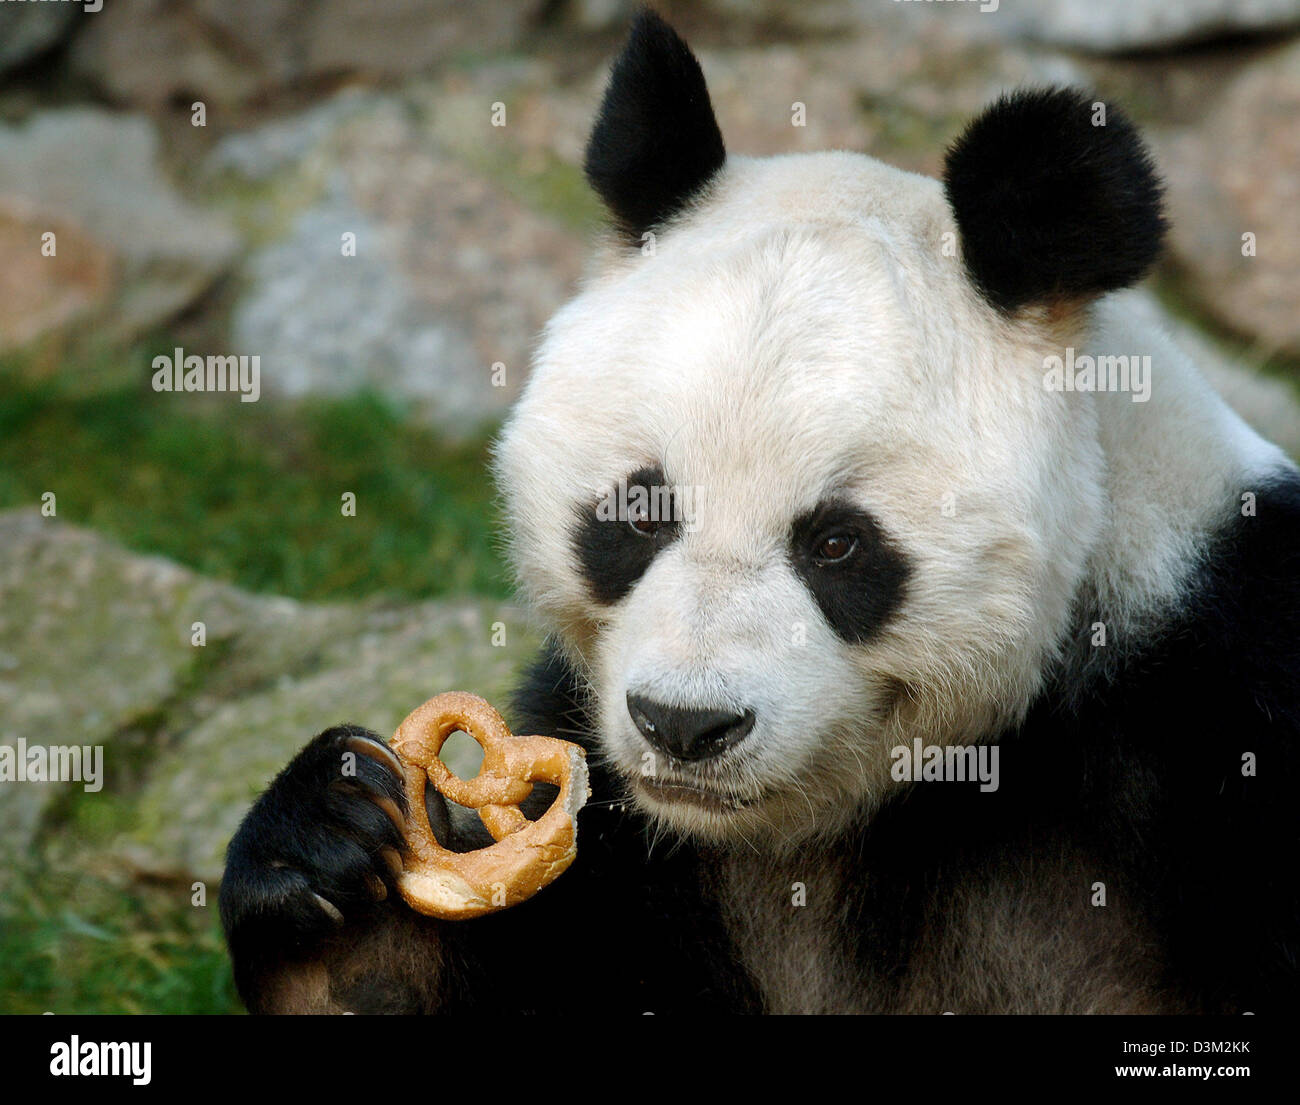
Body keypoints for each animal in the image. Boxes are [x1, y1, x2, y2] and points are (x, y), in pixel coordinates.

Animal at [219, 9, 1300, 1014]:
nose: (683, 725)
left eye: (836, 543)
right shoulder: (619, 820)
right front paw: (329, 861)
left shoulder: (1216, 710)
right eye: (640, 512)